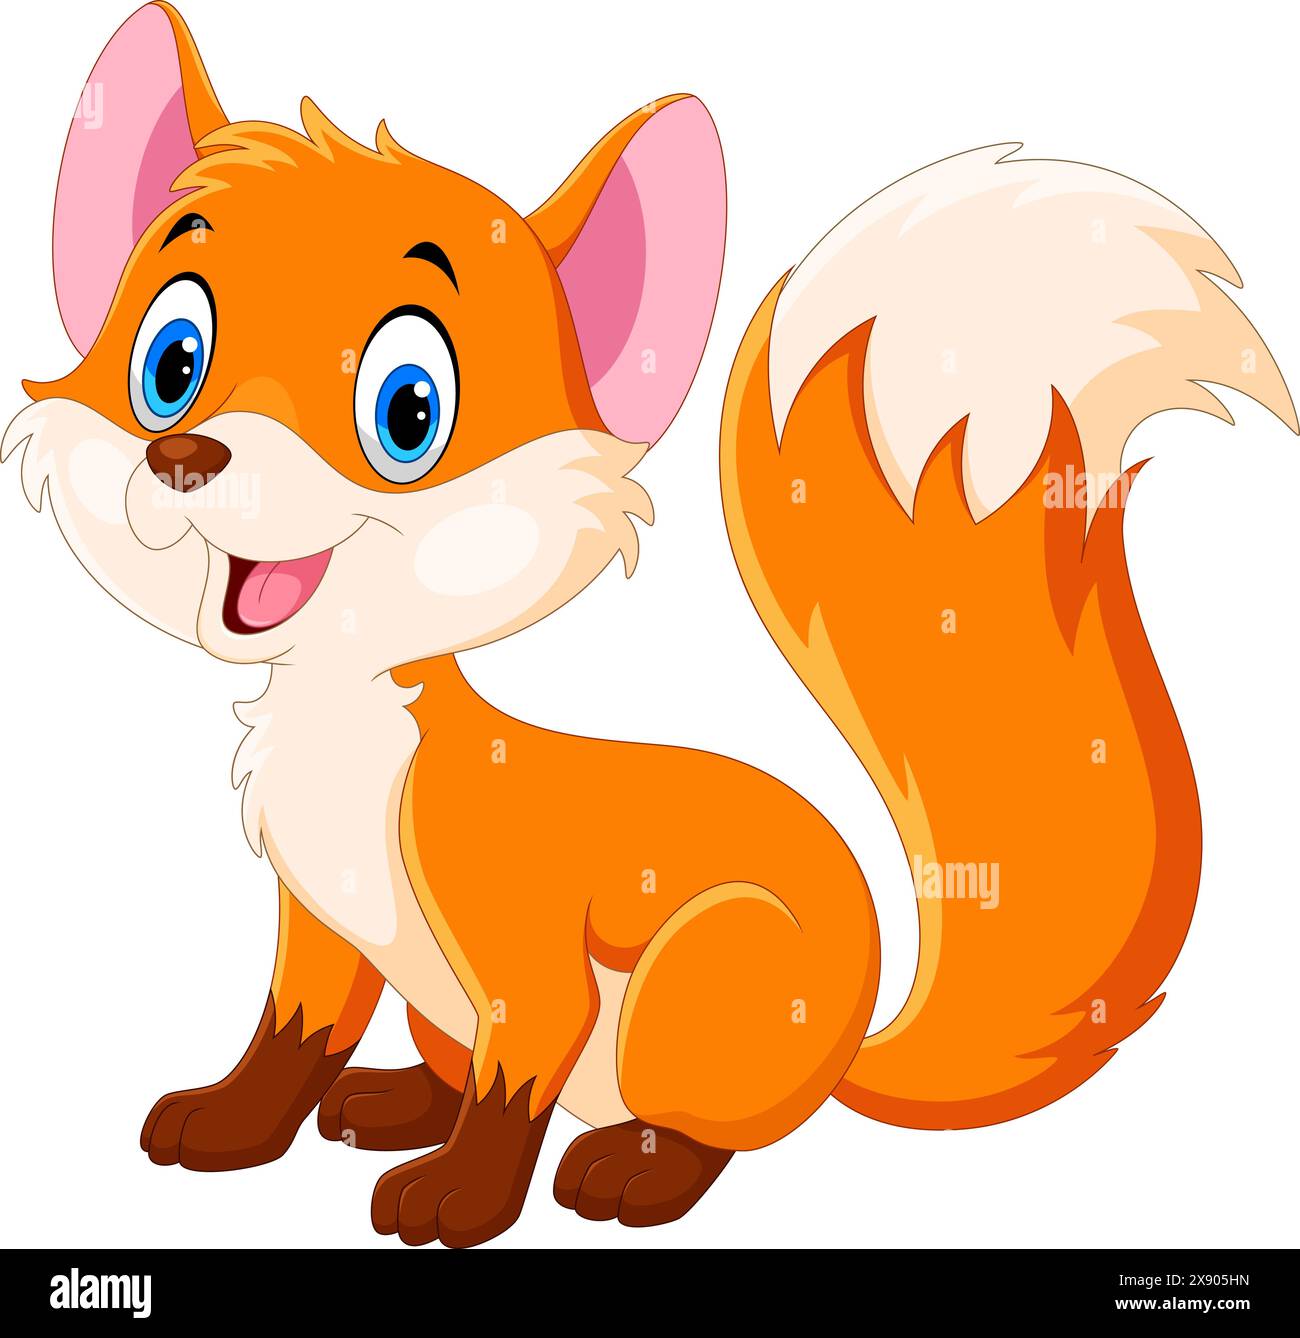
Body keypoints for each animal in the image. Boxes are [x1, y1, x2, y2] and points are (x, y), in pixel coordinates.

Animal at [4, 2, 1295, 1249]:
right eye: (171, 362)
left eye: (408, 411)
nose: (185, 454)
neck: (348, 734)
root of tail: (844, 1051)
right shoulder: (319, 923)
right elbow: (291, 1036)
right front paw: (233, 1123)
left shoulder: (523, 951)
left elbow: (516, 1073)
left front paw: (463, 1200)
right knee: (449, 1064)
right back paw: (391, 1104)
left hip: (706, 971)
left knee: (701, 1134)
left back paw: (630, 1171)